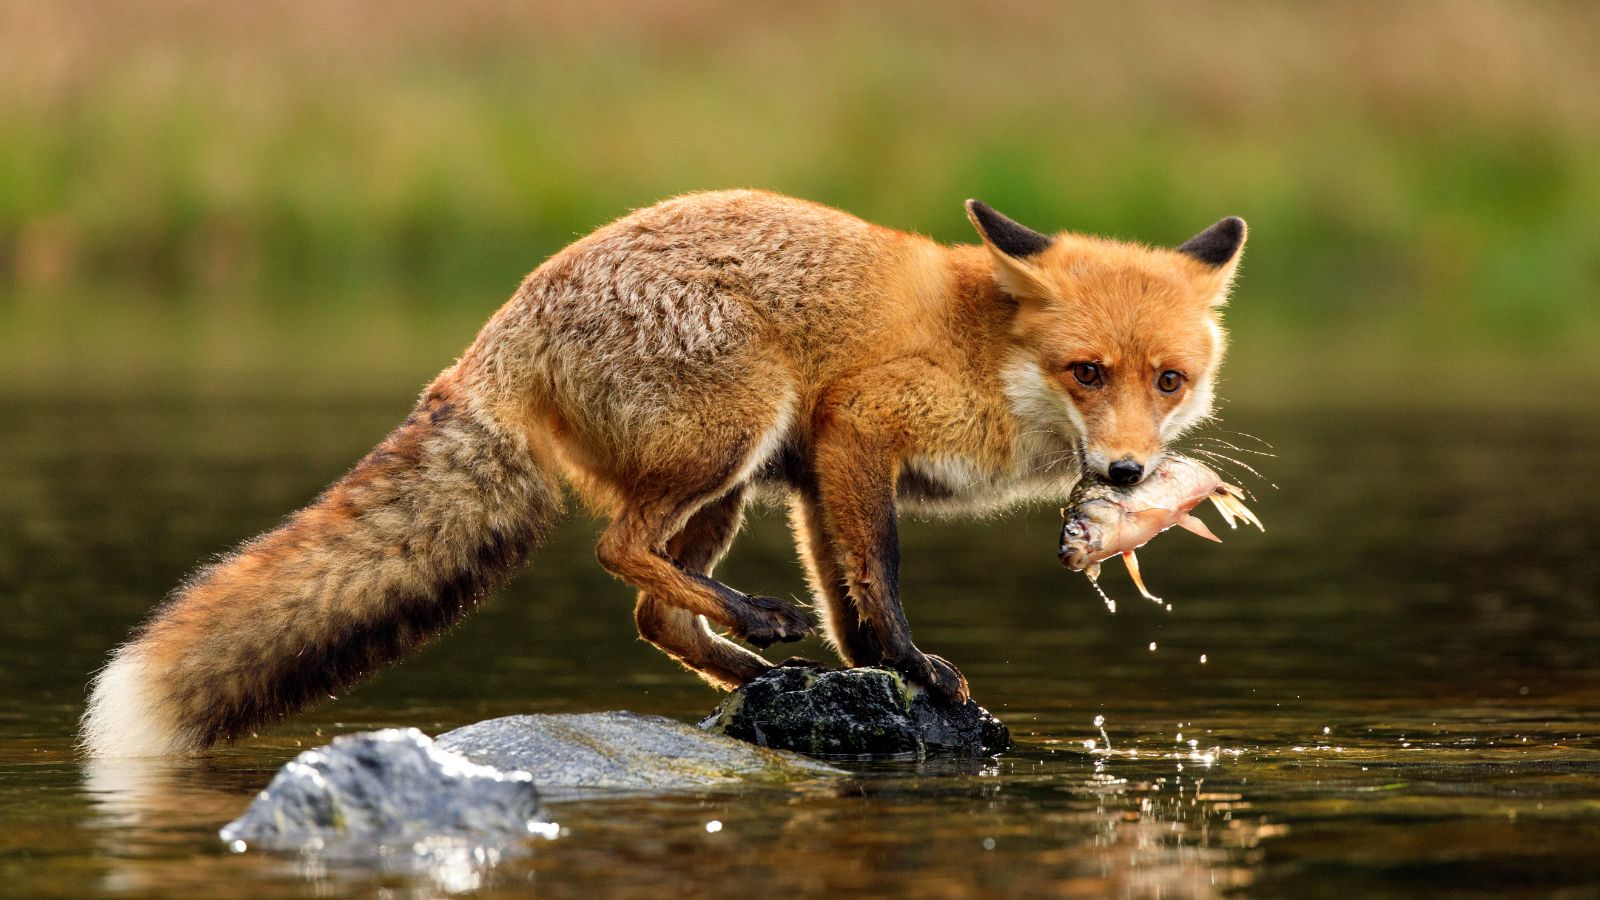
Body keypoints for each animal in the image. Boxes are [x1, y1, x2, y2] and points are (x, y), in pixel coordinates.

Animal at [80, 190, 1246, 757]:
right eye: (1086, 372)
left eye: (1170, 379)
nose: (1130, 472)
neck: (988, 353)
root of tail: (498, 328)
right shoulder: (856, 426)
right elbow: (877, 580)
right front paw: (916, 671)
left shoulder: (815, 472)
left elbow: (850, 602)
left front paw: (886, 677)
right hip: (733, 431)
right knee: (619, 549)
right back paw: (760, 627)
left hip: (734, 480)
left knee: (653, 608)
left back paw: (756, 668)